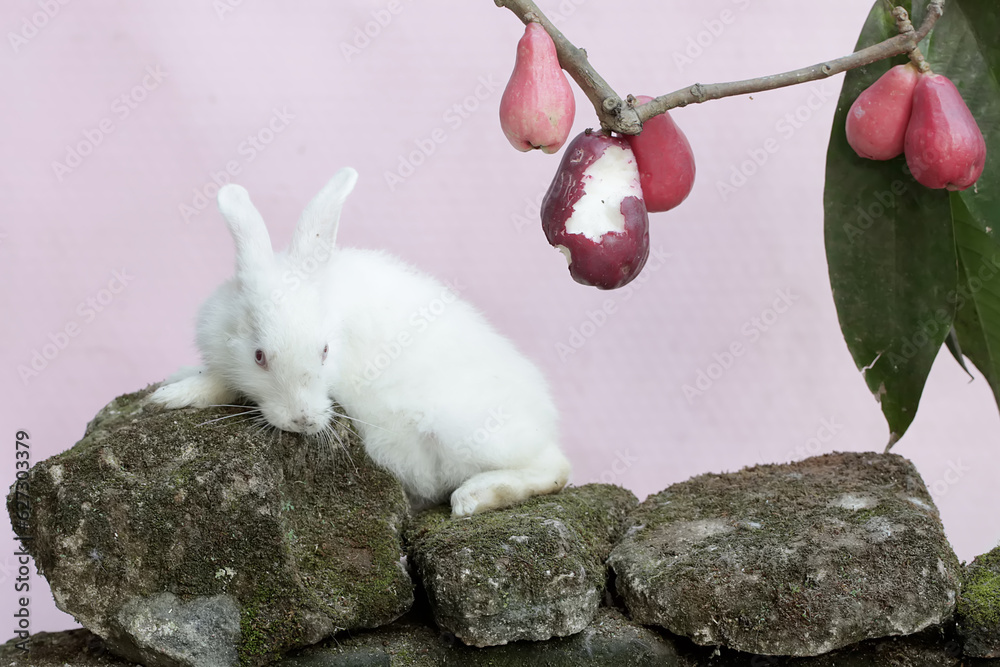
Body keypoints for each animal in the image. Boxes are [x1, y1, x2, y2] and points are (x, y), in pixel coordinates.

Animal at [150, 167, 571, 517]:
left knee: (555, 468)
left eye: (324, 352)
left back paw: (473, 498)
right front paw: (172, 385)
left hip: (468, 432)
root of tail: (544, 418)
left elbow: (221, 386)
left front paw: (171, 396)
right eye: (259, 356)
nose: (303, 421)